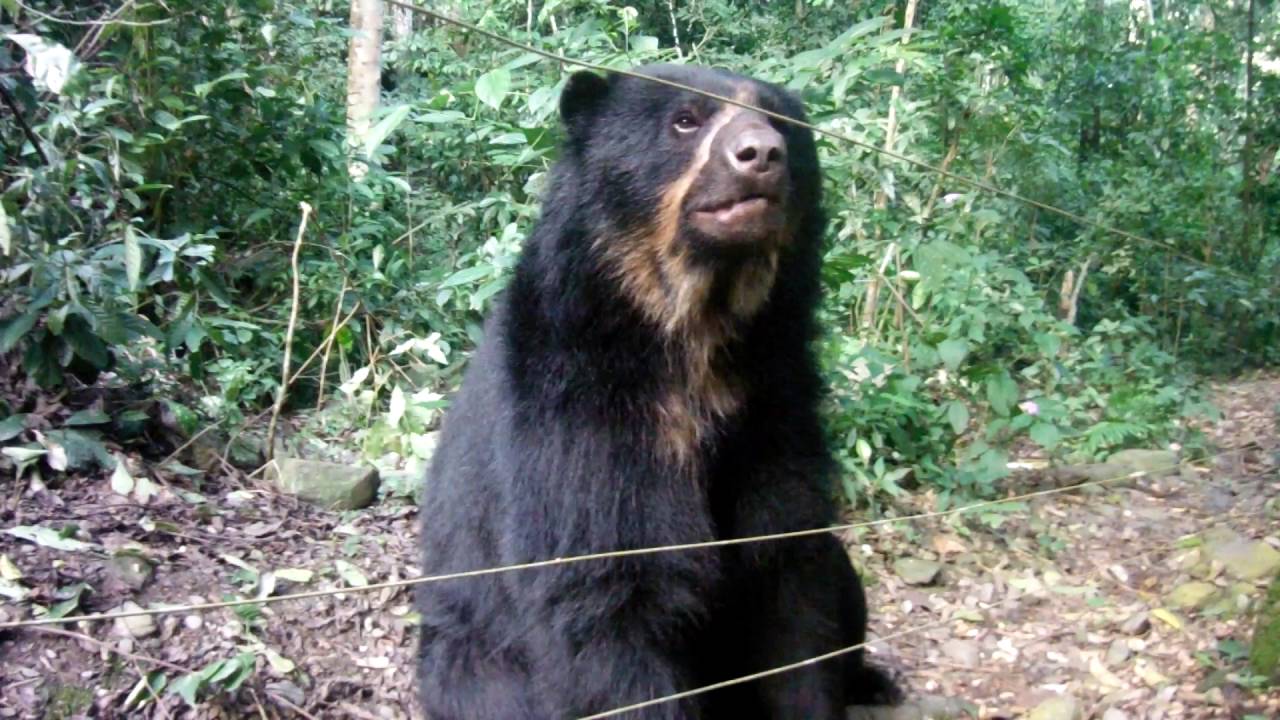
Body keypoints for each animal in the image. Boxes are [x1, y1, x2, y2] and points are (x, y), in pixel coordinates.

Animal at [416, 63, 899, 719]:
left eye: (780, 122)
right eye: (686, 120)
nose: (761, 154)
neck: (696, 334)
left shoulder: (775, 399)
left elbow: (791, 572)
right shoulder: (574, 412)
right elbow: (610, 590)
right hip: (471, 656)